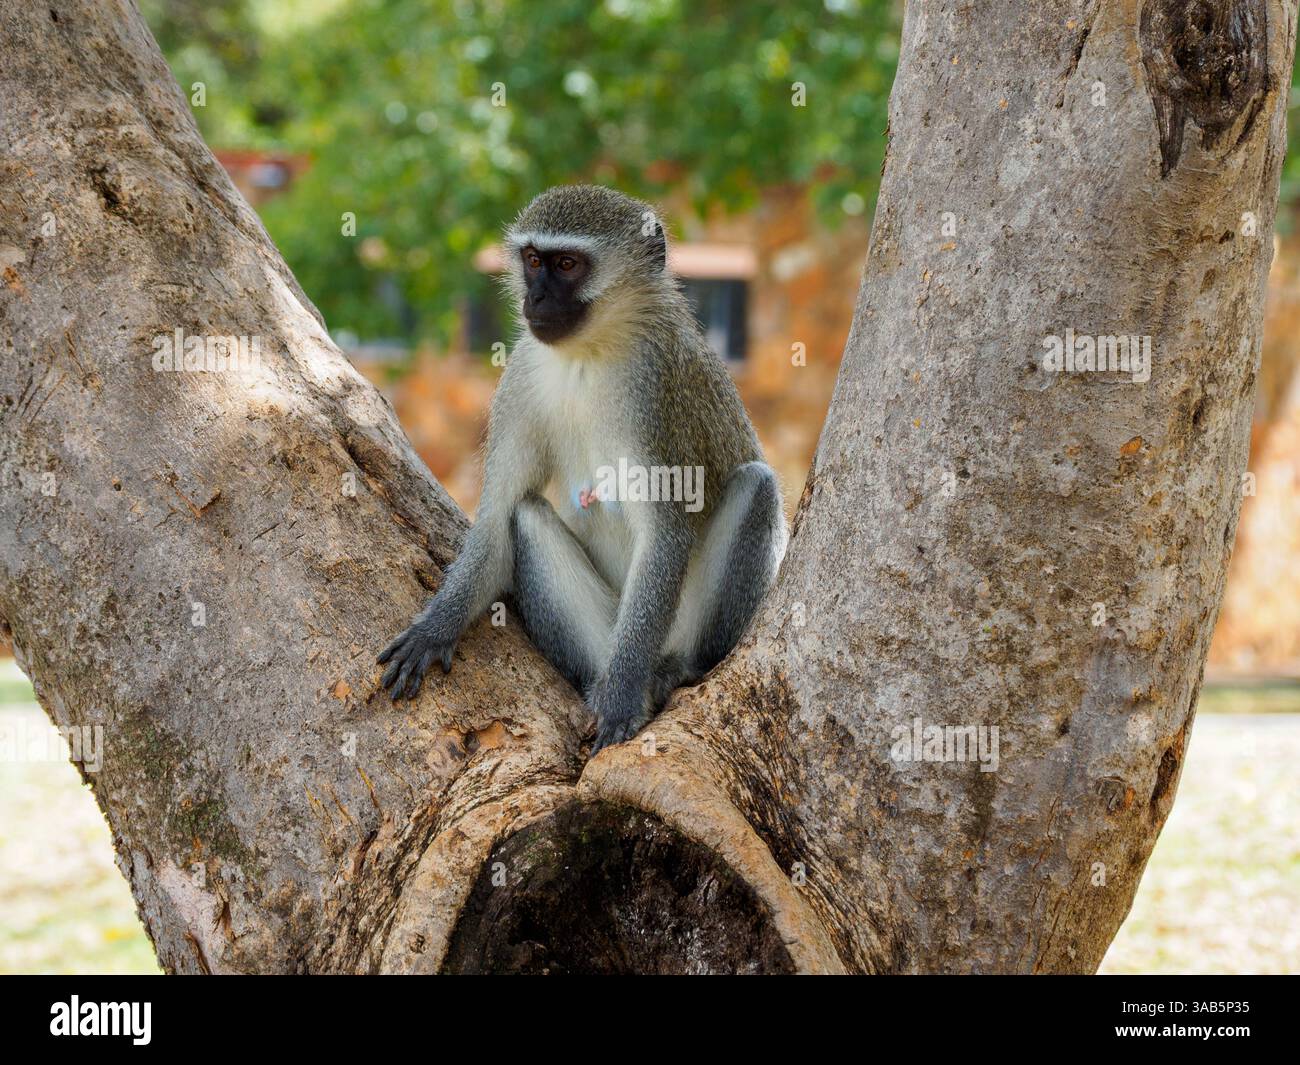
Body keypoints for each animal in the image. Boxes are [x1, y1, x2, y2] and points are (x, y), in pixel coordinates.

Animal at [378, 184, 787, 753]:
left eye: (568, 265)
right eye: (533, 261)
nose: (535, 300)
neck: (590, 353)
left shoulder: (656, 390)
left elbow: (664, 534)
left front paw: (619, 703)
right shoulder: (522, 373)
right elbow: (498, 517)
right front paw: (435, 628)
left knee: (757, 486)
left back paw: (667, 673)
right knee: (527, 516)